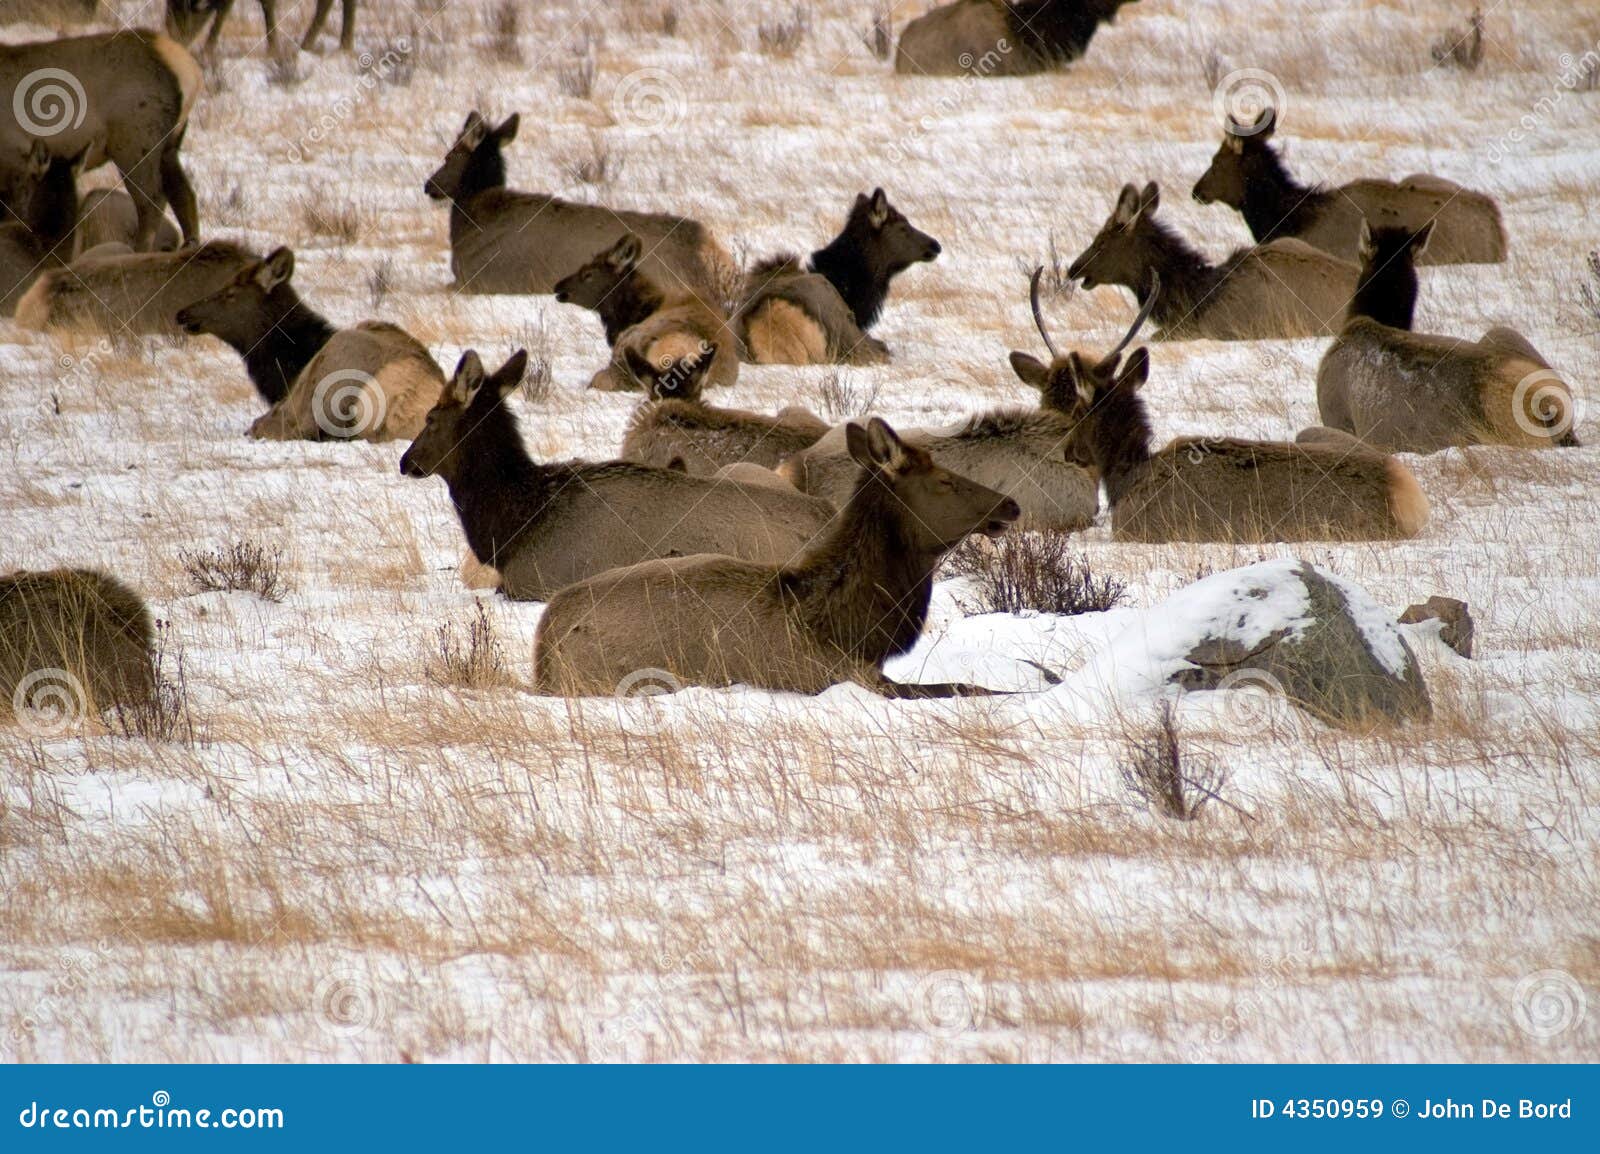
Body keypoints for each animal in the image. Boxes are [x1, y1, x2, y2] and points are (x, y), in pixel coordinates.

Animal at [0, 30, 201, 250]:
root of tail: (190, 72)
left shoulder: (17, 157)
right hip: (169, 146)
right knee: (184, 195)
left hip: (135, 142)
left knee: (152, 201)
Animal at [534, 417, 1022, 698]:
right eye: (944, 481)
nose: (1011, 505)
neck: (853, 626)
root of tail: (545, 643)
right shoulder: (838, 674)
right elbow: (966, 687)